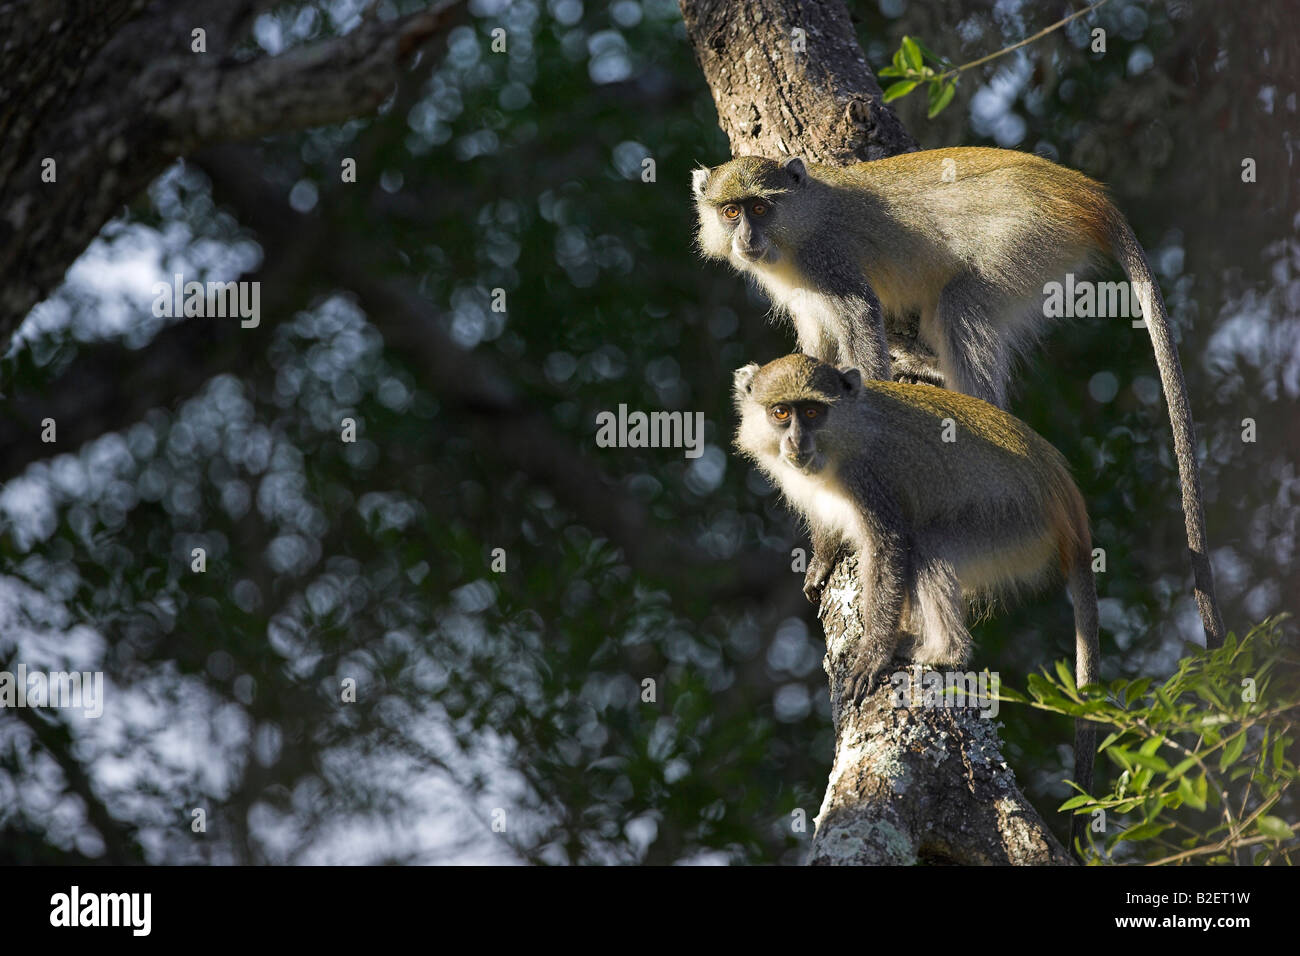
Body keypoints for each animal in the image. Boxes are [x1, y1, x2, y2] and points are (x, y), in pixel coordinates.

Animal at [694, 147, 1223, 648]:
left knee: (962, 305)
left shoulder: (829, 264)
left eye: (760, 208)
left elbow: (862, 325)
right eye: (731, 211)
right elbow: (815, 352)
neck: (800, 226)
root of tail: (1079, 190)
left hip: (1025, 239)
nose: (747, 239)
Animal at [733, 353, 1099, 853]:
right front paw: (822, 561)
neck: (844, 434)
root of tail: (1065, 497)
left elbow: (890, 546)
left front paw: (874, 652)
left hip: (1015, 526)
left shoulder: (869, 480)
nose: (796, 442)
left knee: (927, 543)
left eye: (811, 412)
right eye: (781, 413)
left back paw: (941, 651)